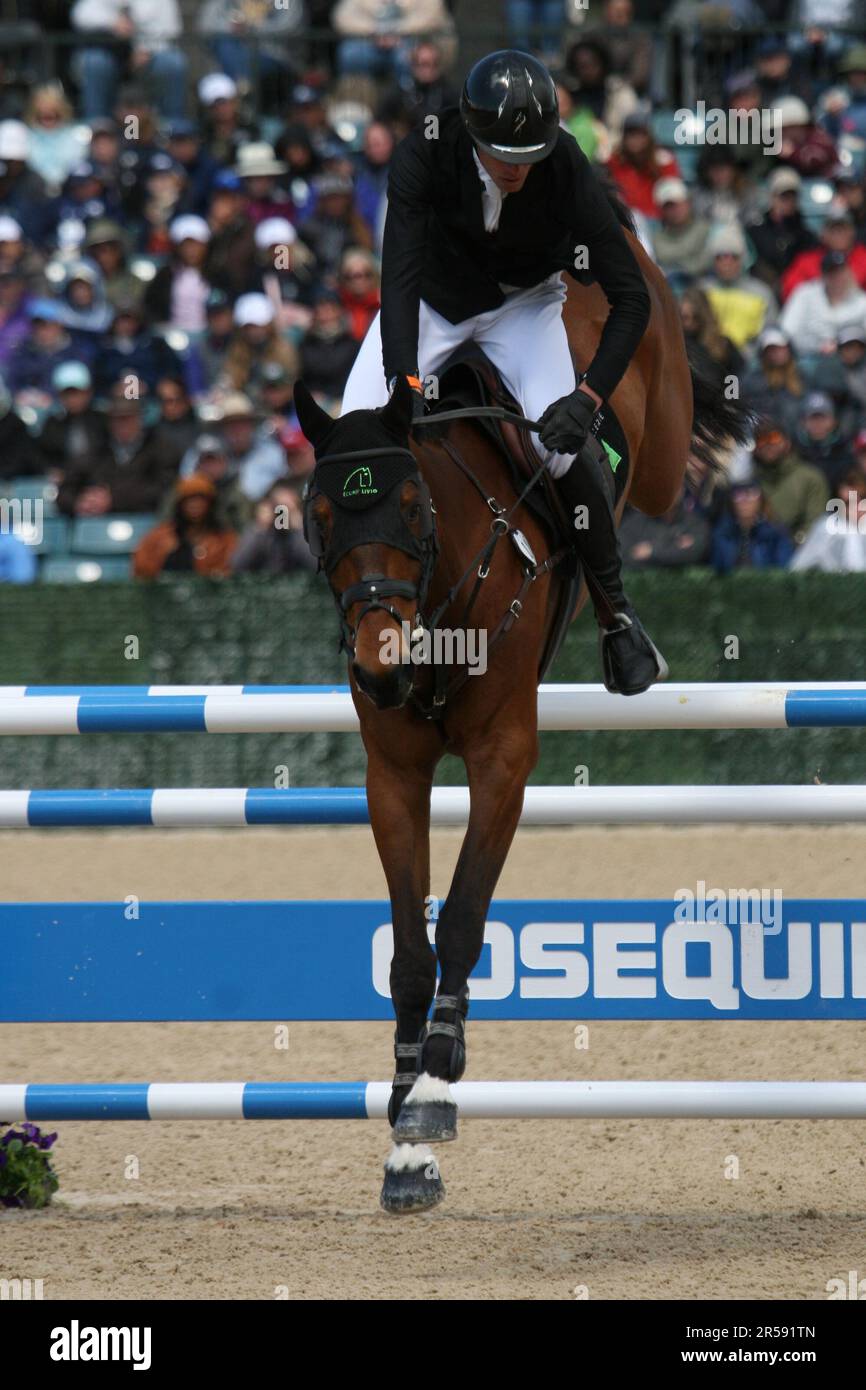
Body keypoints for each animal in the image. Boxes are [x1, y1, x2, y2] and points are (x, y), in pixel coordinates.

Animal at [295, 217, 750, 1213]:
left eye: (413, 507)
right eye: (318, 517)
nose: (380, 665)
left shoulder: (504, 758)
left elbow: (465, 915)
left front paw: (436, 1083)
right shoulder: (394, 771)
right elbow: (410, 943)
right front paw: (403, 1117)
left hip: (653, 436)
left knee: (644, 469)